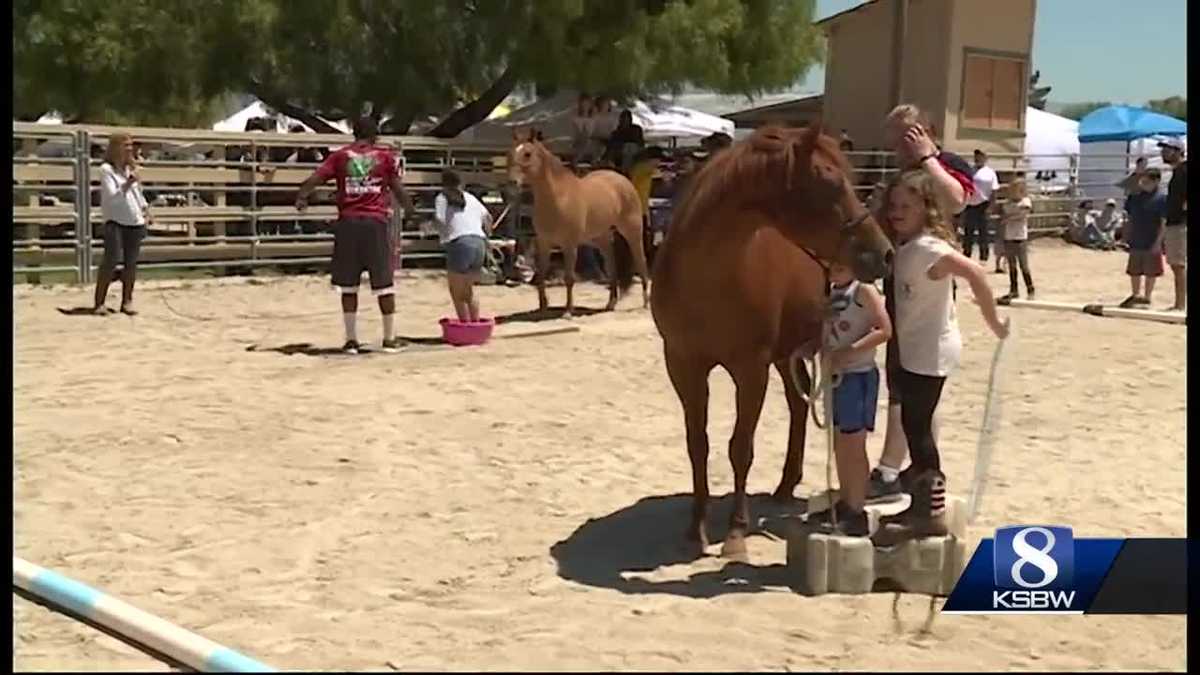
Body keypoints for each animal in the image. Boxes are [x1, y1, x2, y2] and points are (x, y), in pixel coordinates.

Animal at [507, 128, 650, 317]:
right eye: (510, 152)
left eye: (527, 154)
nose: (511, 182)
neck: (558, 198)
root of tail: (622, 179)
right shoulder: (544, 242)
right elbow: (541, 274)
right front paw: (542, 307)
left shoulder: (570, 244)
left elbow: (569, 278)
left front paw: (568, 311)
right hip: (600, 238)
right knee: (611, 265)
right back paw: (610, 304)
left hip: (632, 233)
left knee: (641, 262)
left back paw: (645, 304)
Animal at [650, 124, 894, 560]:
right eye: (830, 183)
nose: (883, 253)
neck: (705, 279)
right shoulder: (682, 365)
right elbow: (698, 445)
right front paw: (696, 528)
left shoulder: (750, 369)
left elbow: (740, 447)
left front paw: (735, 534)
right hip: (786, 356)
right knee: (799, 405)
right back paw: (784, 486)